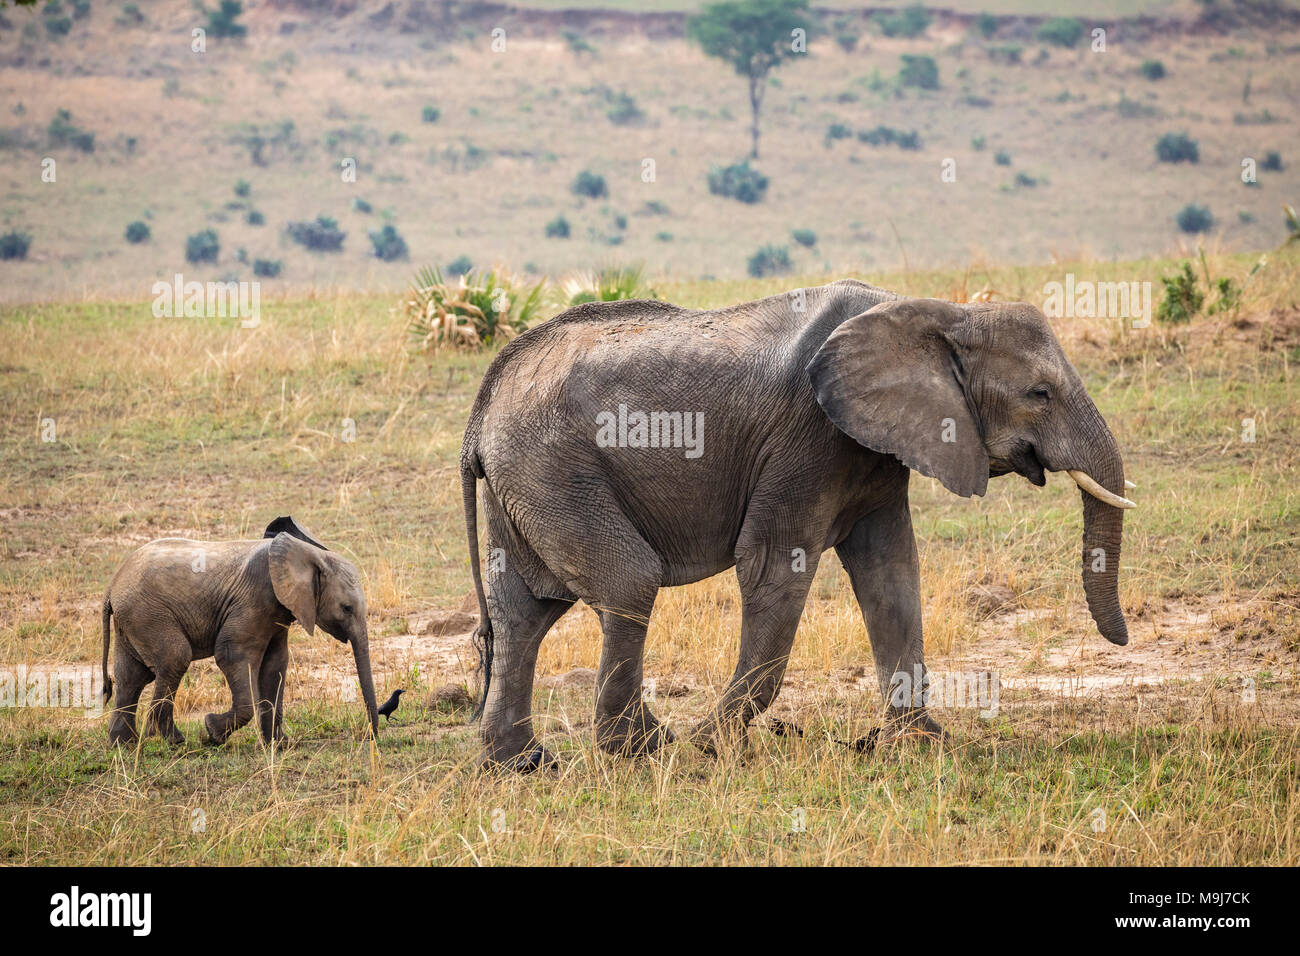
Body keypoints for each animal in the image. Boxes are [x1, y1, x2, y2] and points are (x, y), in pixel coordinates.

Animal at [101, 516, 379, 746]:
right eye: (346, 608)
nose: (371, 737)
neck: (308, 554)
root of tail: (112, 586)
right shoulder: (255, 599)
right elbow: (232, 654)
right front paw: (211, 732)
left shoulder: (279, 611)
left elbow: (275, 665)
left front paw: (279, 745)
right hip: (147, 614)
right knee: (174, 658)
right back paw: (174, 741)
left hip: (133, 619)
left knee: (132, 676)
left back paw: (124, 744)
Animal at [459, 280, 1135, 771]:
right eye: (1040, 393)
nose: (1121, 641)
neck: (937, 313)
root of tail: (481, 409)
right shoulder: (807, 440)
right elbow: (774, 567)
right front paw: (711, 744)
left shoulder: (873, 452)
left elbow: (892, 573)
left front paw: (922, 744)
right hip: (554, 467)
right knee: (628, 581)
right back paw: (648, 749)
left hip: (526, 482)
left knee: (523, 612)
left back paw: (524, 764)